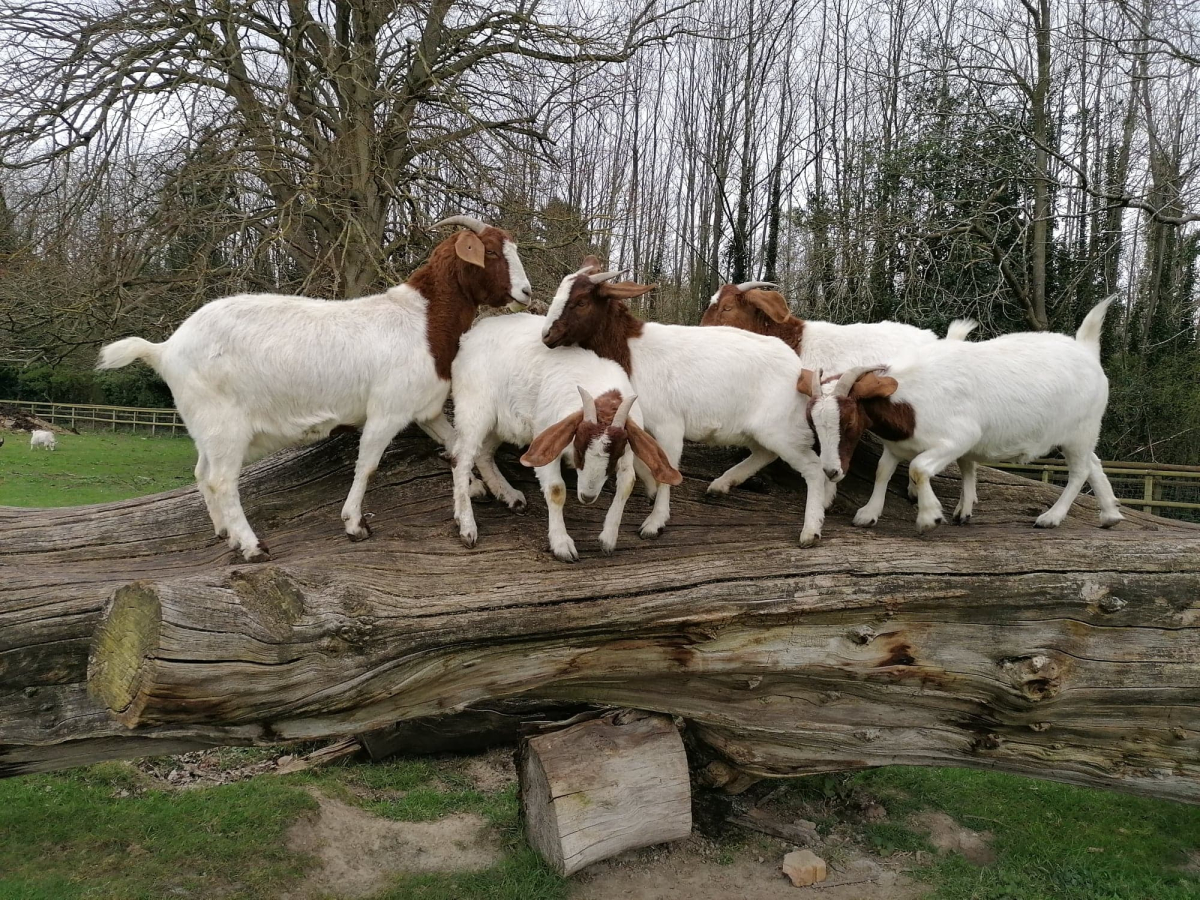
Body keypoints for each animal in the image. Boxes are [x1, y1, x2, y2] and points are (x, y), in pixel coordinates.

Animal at [97, 215, 532, 561]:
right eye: (491, 253)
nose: (526, 292)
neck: (424, 320)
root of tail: (165, 349)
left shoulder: (423, 408)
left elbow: (459, 447)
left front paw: (497, 491)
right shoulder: (387, 410)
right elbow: (367, 465)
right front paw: (354, 524)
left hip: (204, 424)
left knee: (202, 473)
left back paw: (226, 534)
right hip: (224, 424)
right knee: (222, 480)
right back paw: (252, 546)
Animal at [451, 277, 681, 560]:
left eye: (613, 457)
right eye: (580, 448)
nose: (587, 497)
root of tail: (470, 336)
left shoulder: (627, 443)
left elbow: (627, 483)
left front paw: (608, 538)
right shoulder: (548, 436)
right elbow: (556, 490)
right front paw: (562, 544)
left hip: (499, 421)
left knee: (483, 454)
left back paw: (510, 497)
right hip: (474, 406)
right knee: (461, 458)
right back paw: (467, 526)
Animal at [542, 271, 832, 546]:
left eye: (581, 301)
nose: (546, 336)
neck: (632, 352)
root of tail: (799, 370)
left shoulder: (668, 424)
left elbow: (666, 466)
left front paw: (655, 522)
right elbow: (644, 460)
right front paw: (651, 491)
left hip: (780, 428)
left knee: (812, 467)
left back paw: (811, 529)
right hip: (759, 429)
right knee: (765, 453)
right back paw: (721, 485)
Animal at [804, 298, 1124, 533]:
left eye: (848, 421)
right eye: (813, 424)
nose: (830, 471)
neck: (907, 401)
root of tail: (1087, 350)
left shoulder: (960, 438)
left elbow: (918, 467)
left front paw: (930, 516)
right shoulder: (898, 444)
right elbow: (884, 470)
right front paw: (869, 513)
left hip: (1079, 432)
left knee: (1079, 471)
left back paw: (1052, 517)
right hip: (1082, 434)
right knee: (1094, 463)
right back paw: (1110, 514)